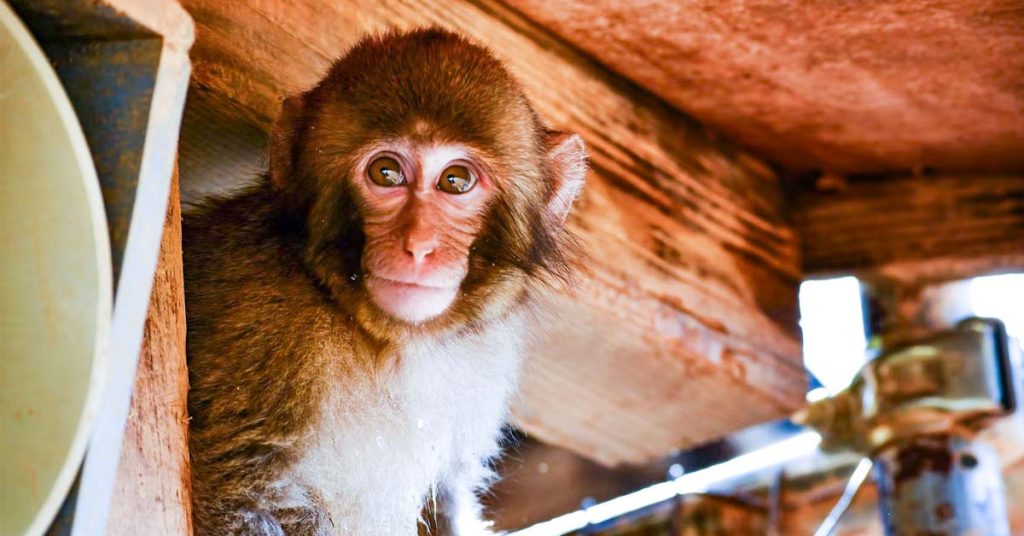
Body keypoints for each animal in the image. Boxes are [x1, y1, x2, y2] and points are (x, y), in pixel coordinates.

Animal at [183, 28, 586, 535]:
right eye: (386, 172)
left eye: (456, 180)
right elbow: (246, 499)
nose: (418, 246)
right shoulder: (260, 327)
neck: (387, 343)